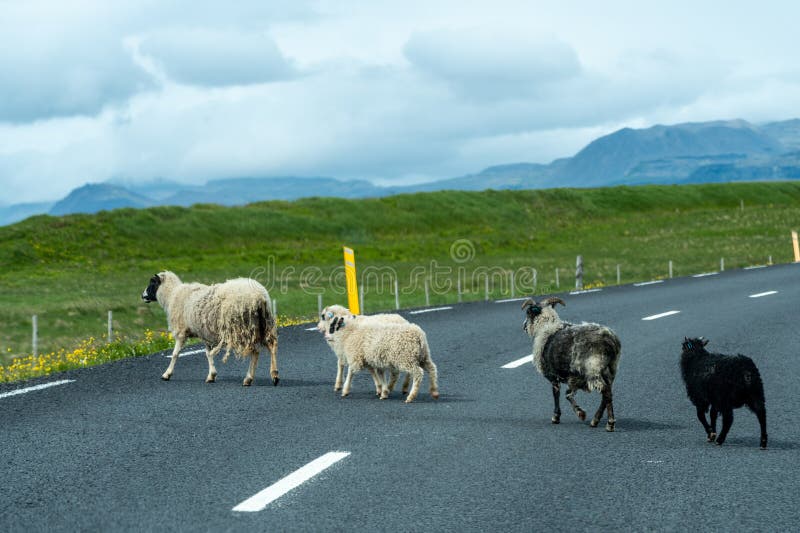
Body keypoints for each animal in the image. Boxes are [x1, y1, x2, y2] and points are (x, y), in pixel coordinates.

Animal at [141, 271, 279, 387]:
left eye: (152, 282)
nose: (143, 296)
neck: (172, 294)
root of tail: (260, 297)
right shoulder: (204, 332)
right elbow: (208, 354)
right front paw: (211, 375)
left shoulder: (181, 331)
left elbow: (175, 354)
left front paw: (167, 374)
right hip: (264, 324)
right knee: (271, 347)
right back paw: (274, 375)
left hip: (244, 327)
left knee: (255, 351)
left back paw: (248, 378)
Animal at [521, 296, 621, 431]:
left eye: (528, 312)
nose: (523, 326)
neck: (546, 327)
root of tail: (609, 340)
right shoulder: (574, 377)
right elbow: (567, 394)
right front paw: (579, 413)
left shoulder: (554, 376)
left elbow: (558, 395)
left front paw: (559, 416)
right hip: (611, 369)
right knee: (607, 394)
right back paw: (596, 420)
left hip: (593, 368)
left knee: (606, 392)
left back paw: (609, 424)